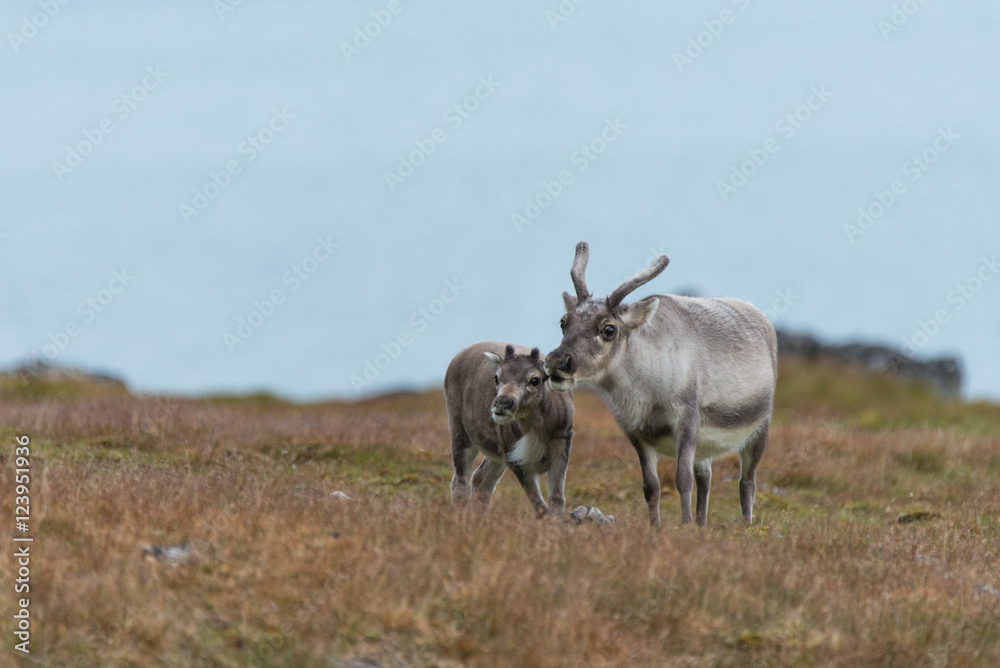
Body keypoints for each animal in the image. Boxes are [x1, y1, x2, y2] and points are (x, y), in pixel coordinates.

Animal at [445, 342, 574, 518]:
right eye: (496, 377)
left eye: (534, 380)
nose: (502, 402)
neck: (538, 429)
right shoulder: (513, 457)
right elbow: (539, 506)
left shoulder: (562, 442)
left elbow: (556, 498)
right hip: (460, 430)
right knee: (461, 480)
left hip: (496, 452)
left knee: (480, 478)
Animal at [544, 242, 778, 528]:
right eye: (563, 321)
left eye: (608, 329)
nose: (557, 361)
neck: (645, 395)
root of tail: (761, 317)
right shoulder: (636, 432)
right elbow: (651, 486)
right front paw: (656, 526)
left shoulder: (687, 419)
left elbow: (682, 480)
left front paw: (685, 525)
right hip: (706, 445)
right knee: (706, 477)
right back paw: (702, 524)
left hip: (760, 428)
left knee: (747, 481)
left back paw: (744, 524)